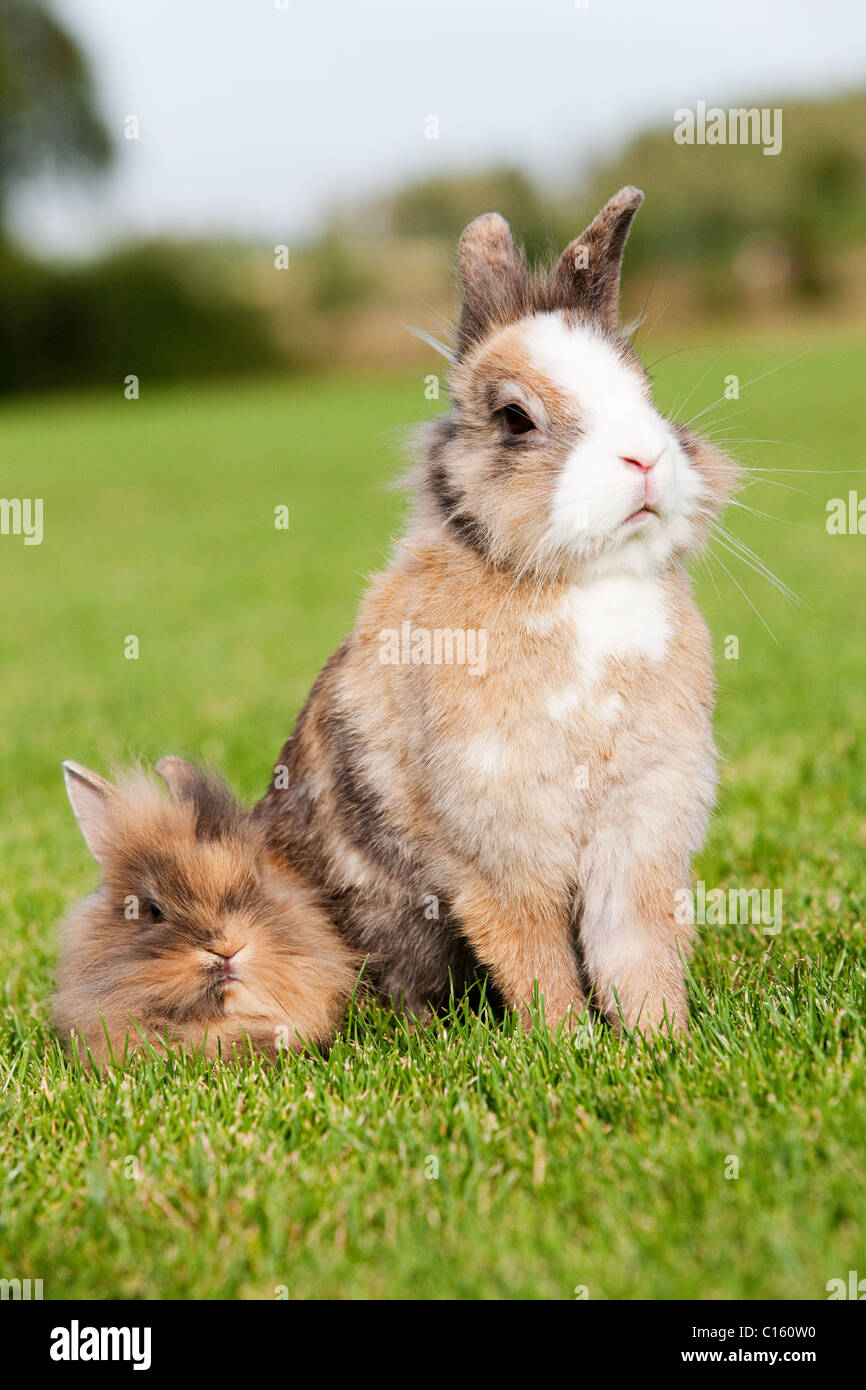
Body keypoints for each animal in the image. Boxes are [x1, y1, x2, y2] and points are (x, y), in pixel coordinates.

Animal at [253, 186, 740, 1037]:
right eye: (516, 418)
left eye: (644, 389)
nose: (647, 458)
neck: (585, 582)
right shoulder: (494, 845)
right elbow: (534, 953)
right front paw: (568, 1041)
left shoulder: (644, 830)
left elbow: (638, 948)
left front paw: (660, 1040)